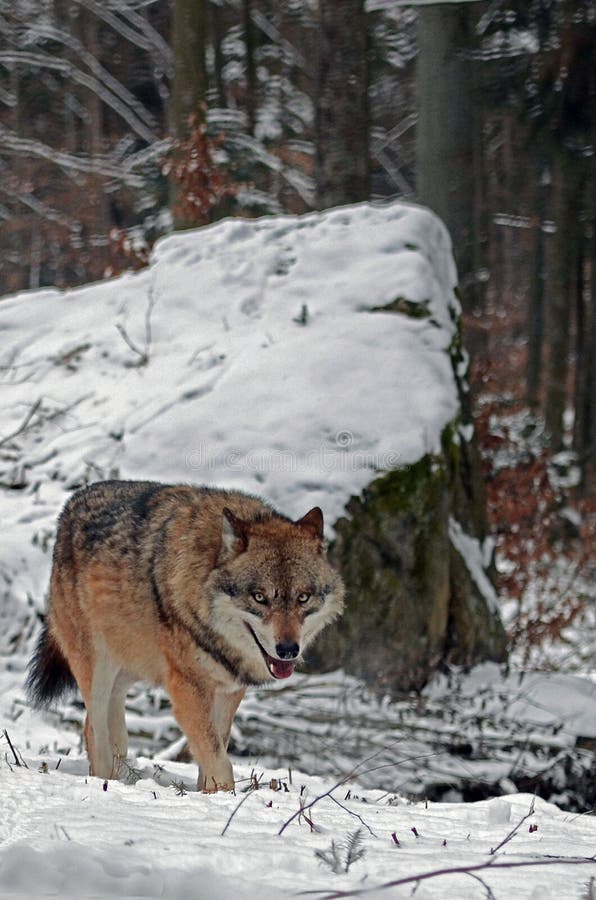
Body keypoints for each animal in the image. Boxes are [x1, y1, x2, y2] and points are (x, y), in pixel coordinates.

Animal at [26, 480, 344, 791]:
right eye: (259, 597)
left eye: (303, 597)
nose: (288, 650)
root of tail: (71, 504)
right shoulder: (188, 690)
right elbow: (219, 760)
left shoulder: (228, 691)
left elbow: (214, 754)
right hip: (97, 670)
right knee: (93, 731)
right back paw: (104, 784)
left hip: (125, 675)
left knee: (108, 734)